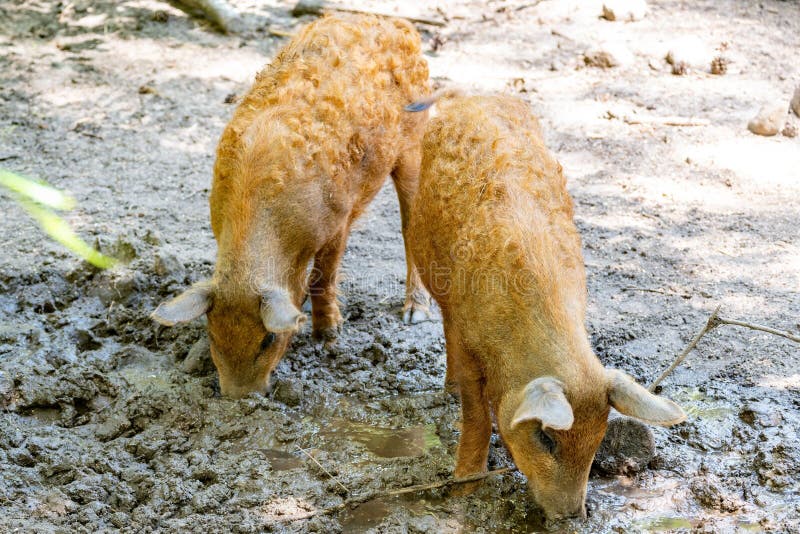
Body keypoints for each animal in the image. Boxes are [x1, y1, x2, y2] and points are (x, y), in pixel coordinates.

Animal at [151, 14, 432, 398]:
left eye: (268, 339)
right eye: (212, 334)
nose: (238, 398)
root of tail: (397, 22)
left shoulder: (337, 219)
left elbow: (323, 275)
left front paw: (328, 336)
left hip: (414, 142)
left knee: (409, 226)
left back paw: (414, 315)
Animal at [407, 94, 686, 520]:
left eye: (598, 438)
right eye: (546, 438)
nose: (574, 516)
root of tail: (473, 96)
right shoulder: (469, 338)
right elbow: (476, 416)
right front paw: (464, 488)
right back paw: (448, 391)